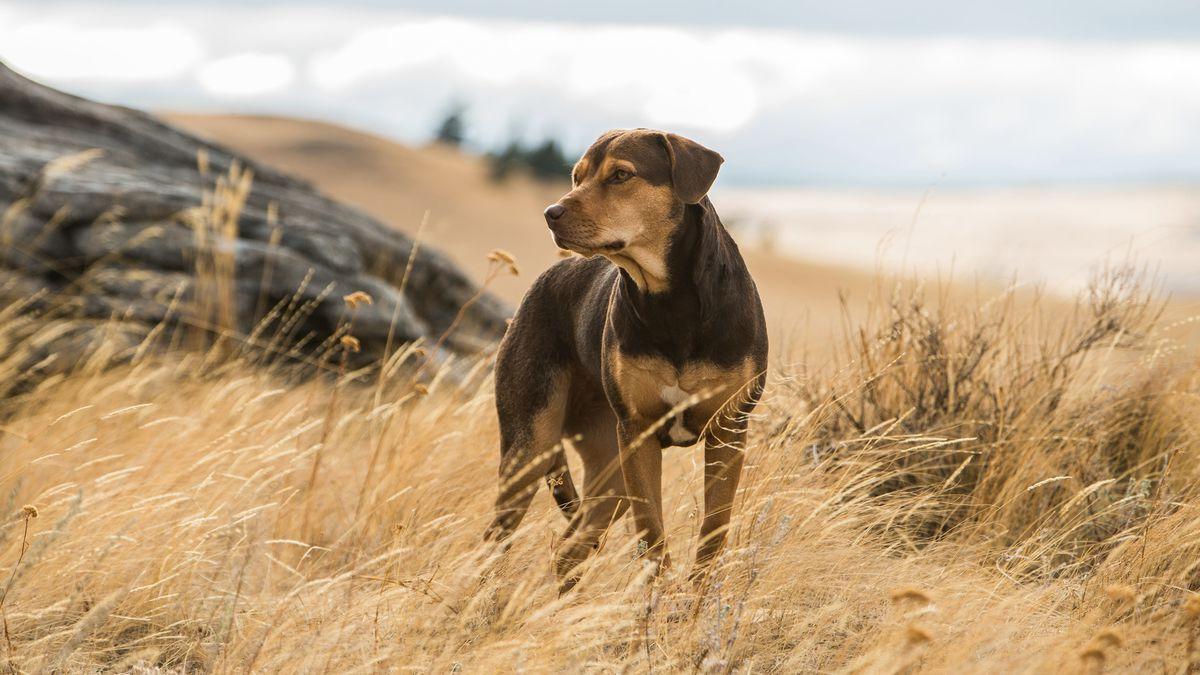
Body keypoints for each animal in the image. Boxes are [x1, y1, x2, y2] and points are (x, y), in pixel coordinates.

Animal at [482, 127, 763, 588]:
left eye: (621, 175)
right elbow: (651, 534)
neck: (672, 302)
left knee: (570, 547)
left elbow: (712, 530)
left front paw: (695, 598)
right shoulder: (637, 433)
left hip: (608, 468)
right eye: (577, 176)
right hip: (533, 444)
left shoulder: (728, 429)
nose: (550, 213)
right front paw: (658, 599)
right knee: (499, 540)